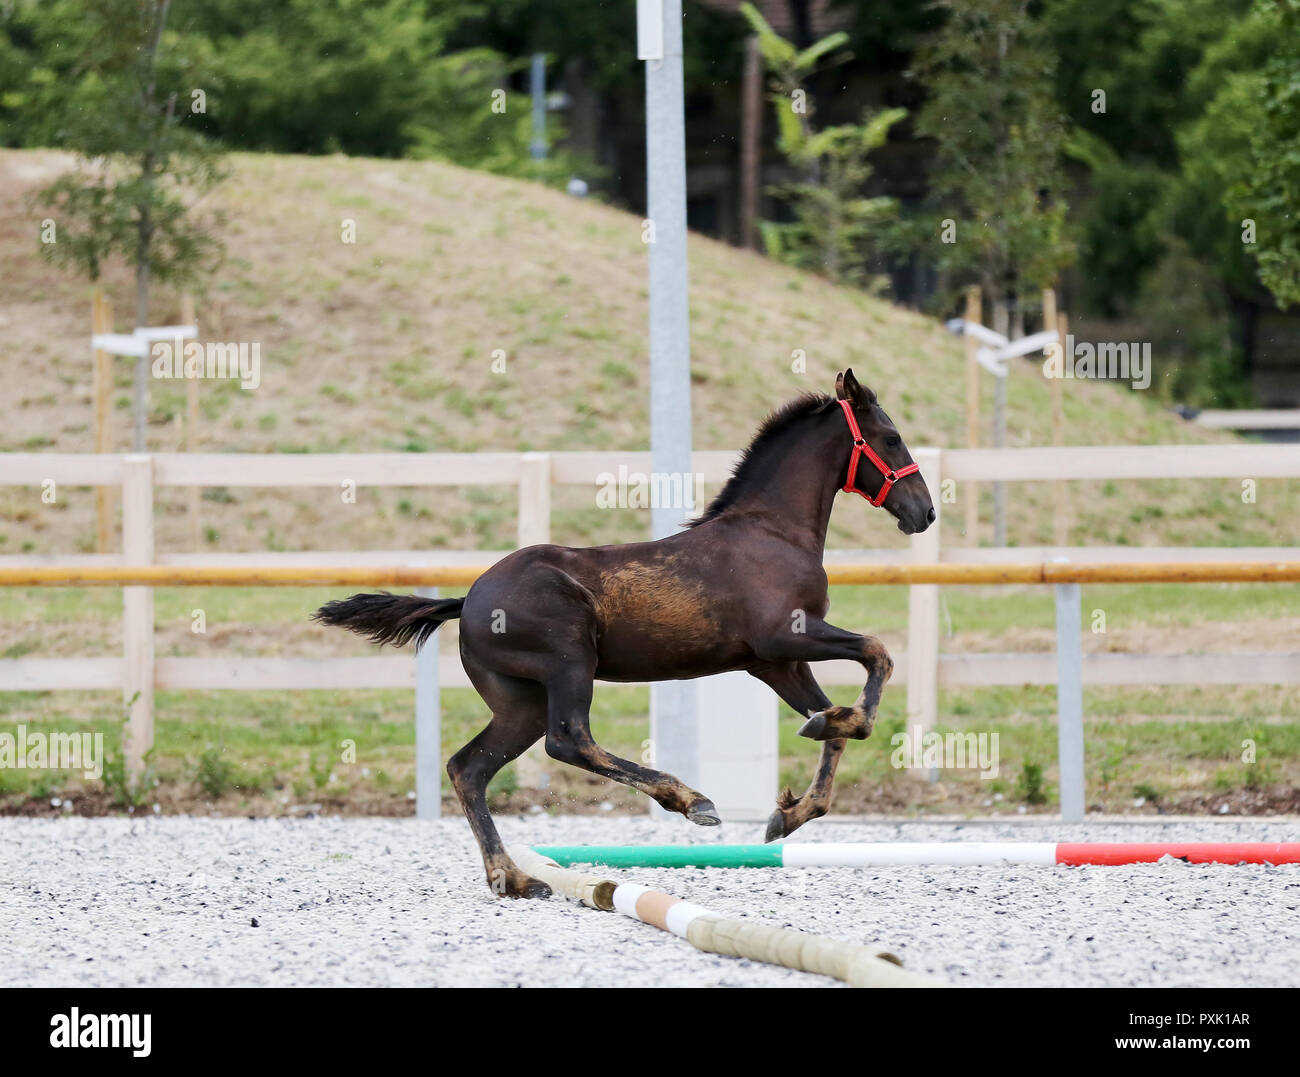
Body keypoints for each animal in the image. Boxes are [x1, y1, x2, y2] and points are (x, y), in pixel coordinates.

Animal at [315, 369, 935, 898]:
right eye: (892, 438)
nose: (925, 512)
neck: (772, 533)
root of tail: (468, 600)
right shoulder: (787, 638)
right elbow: (878, 655)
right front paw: (834, 732)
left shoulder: (774, 662)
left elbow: (832, 727)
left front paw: (790, 811)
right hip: (569, 662)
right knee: (568, 740)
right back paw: (689, 799)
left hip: (519, 702)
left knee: (470, 769)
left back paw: (513, 878)